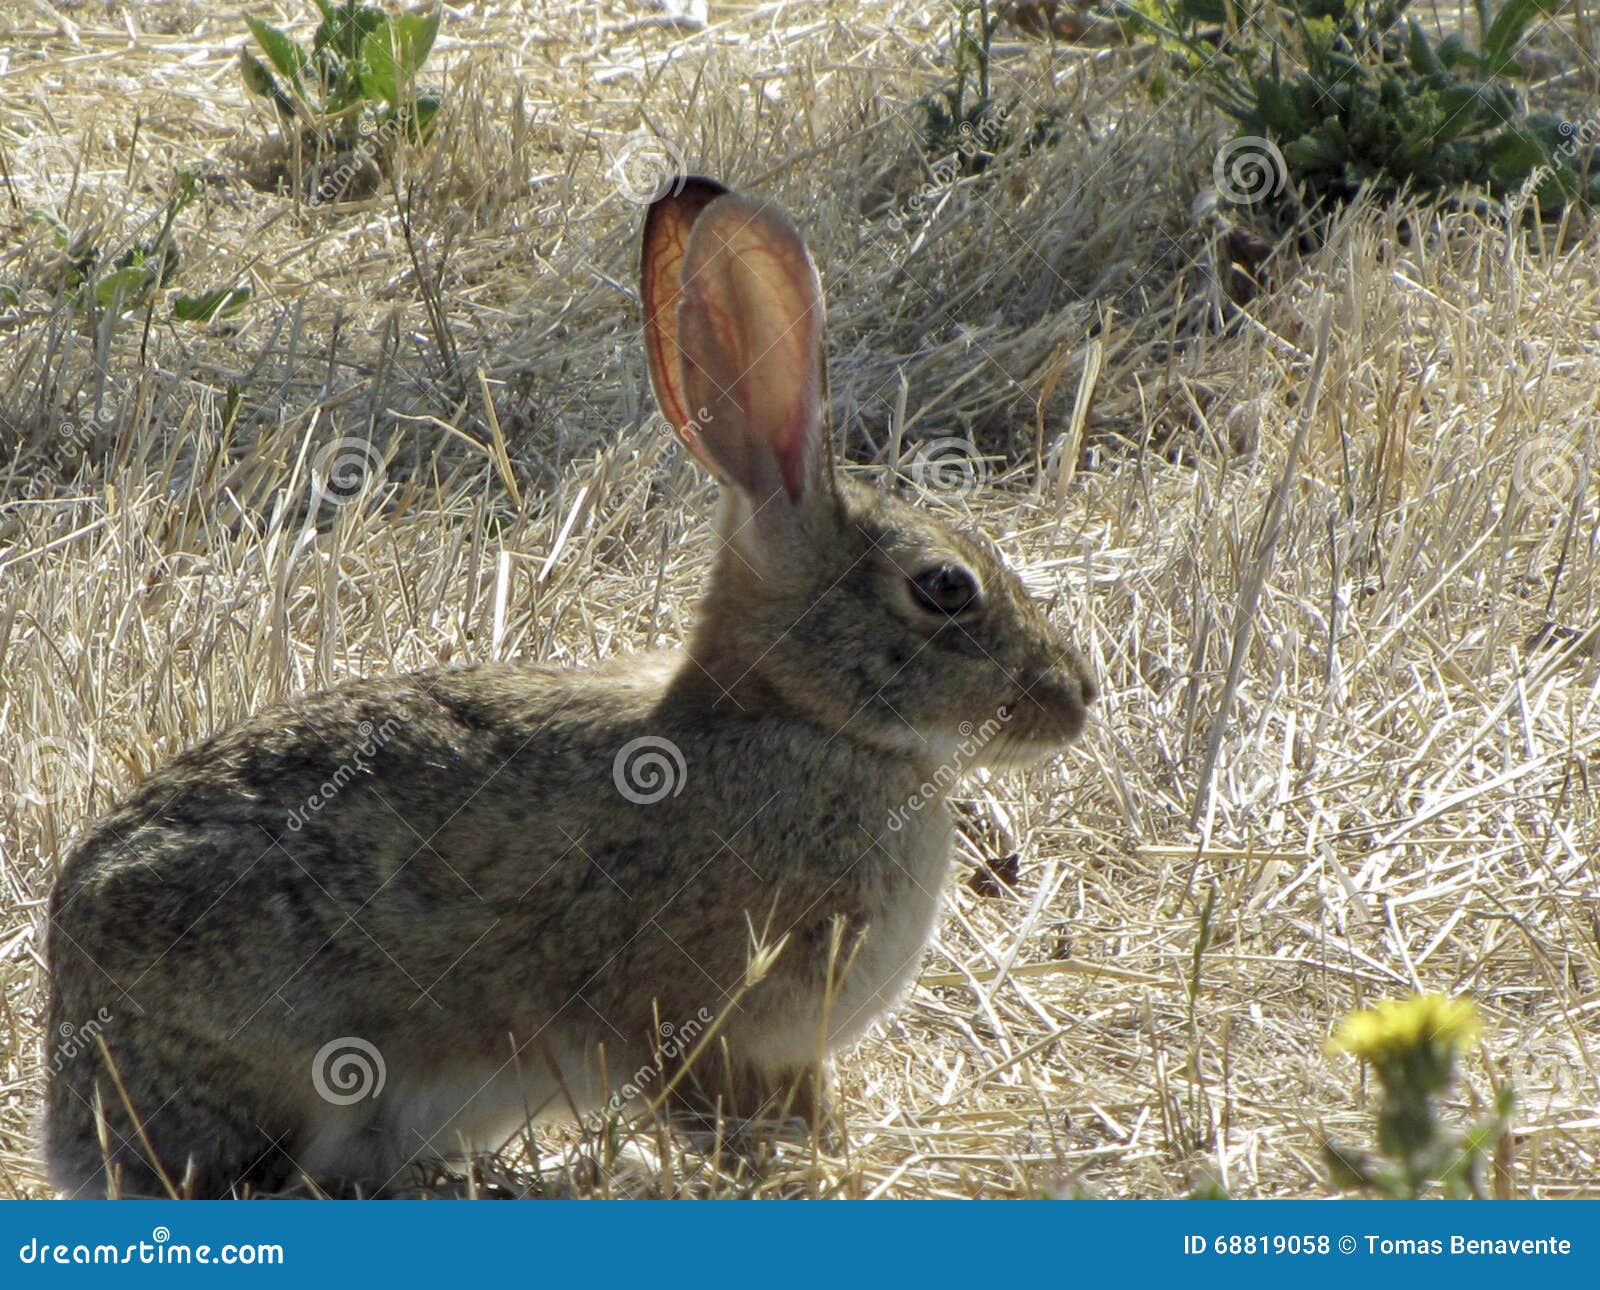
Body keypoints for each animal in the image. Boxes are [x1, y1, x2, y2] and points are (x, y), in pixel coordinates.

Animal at [42, 176, 1096, 1198]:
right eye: (943, 588)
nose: (1078, 697)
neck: (797, 719)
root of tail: (70, 1093)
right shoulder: (718, 1032)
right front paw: (816, 1172)